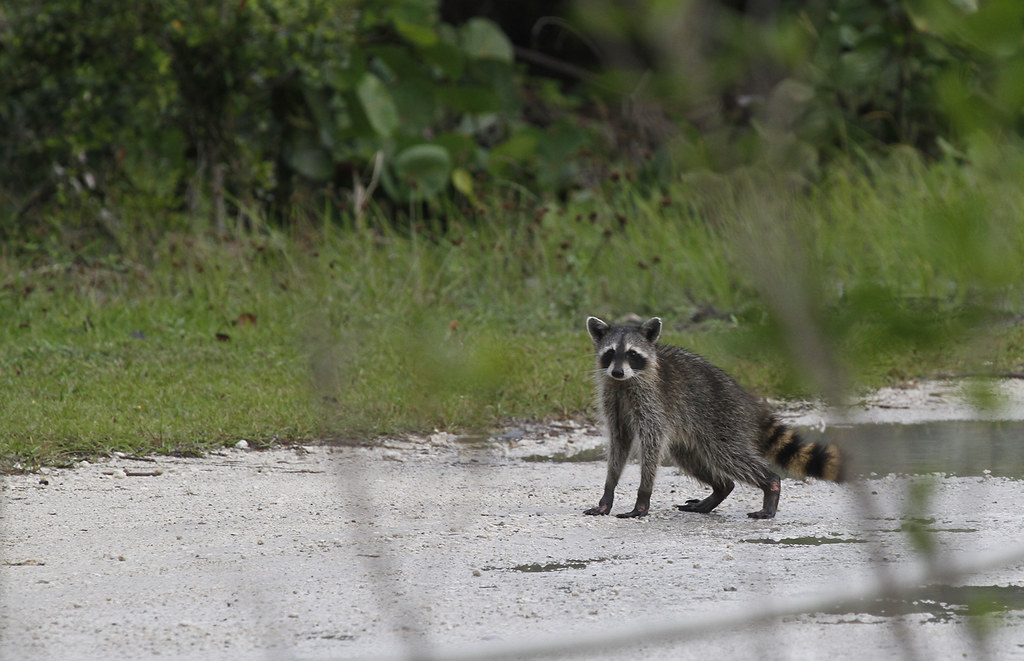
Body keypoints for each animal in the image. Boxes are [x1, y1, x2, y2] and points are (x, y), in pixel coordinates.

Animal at [583, 316, 844, 519]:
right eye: (610, 353)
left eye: (632, 354)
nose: (617, 371)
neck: (624, 382)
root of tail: (746, 400)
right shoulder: (613, 400)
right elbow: (619, 443)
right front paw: (608, 491)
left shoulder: (653, 403)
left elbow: (652, 445)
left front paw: (643, 496)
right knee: (690, 457)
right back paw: (721, 488)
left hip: (723, 421)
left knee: (728, 456)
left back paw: (770, 484)